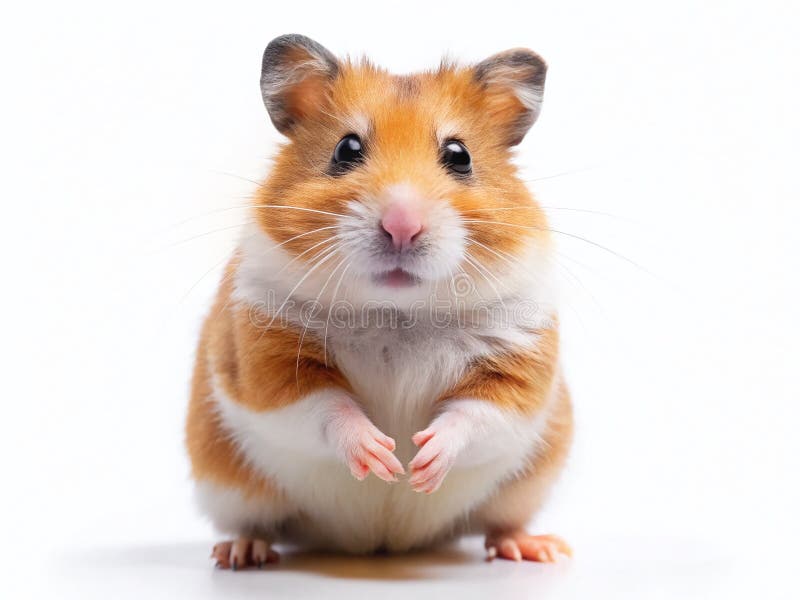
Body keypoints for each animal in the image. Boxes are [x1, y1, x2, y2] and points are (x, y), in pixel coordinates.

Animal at [185, 33, 573, 569]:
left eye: (459, 155)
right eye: (346, 149)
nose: (401, 226)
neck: (397, 312)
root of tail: (382, 543)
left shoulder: (518, 370)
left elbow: (476, 416)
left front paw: (419, 463)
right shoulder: (269, 365)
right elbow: (327, 409)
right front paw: (383, 457)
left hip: (527, 483)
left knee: (501, 522)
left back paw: (536, 548)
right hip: (228, 483)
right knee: (255, 521)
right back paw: (242, 552)